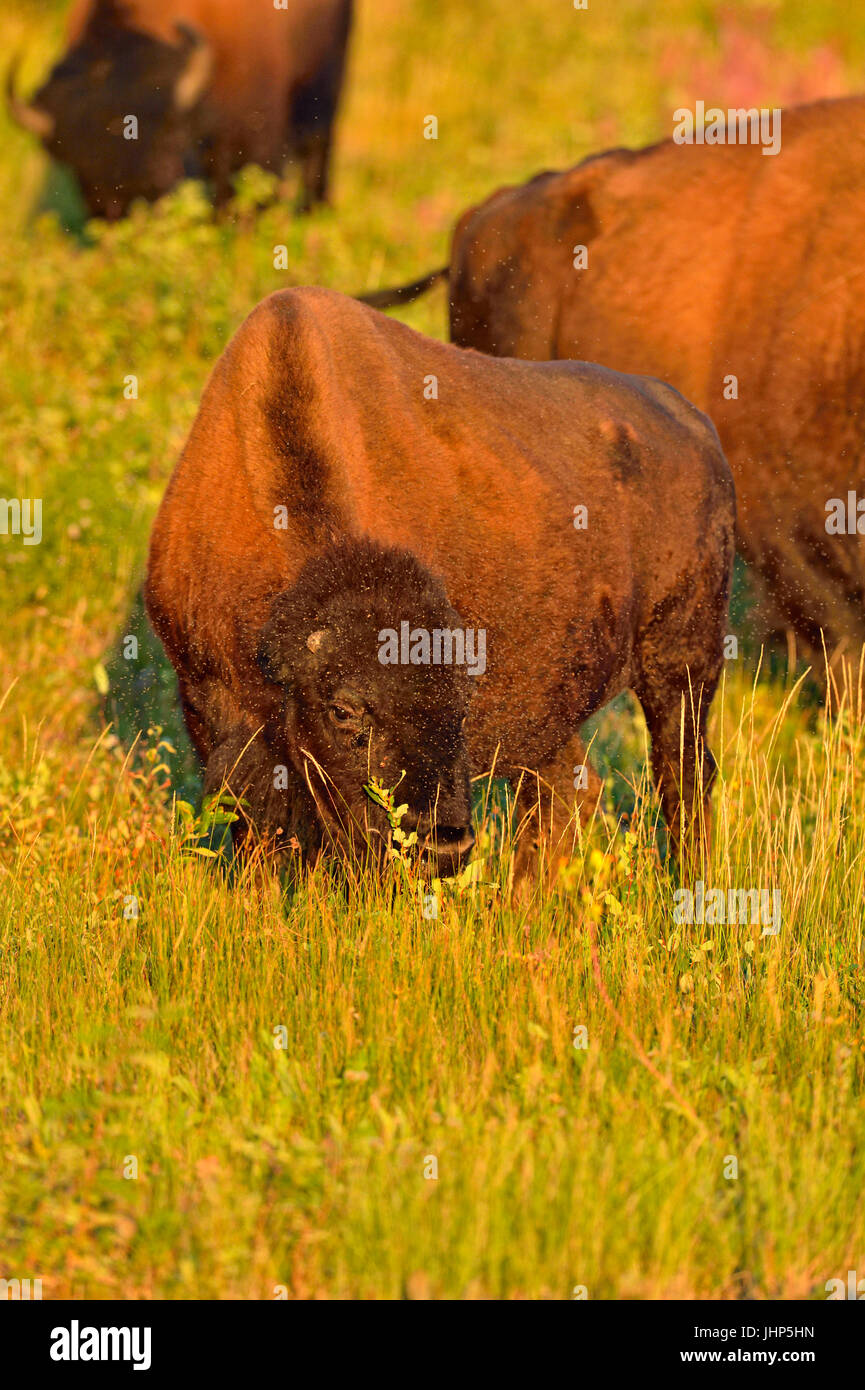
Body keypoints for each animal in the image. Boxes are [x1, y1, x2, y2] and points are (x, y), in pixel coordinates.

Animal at [145, 287, 734, 877]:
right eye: (343, 710)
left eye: (465, 698)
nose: (444, 846)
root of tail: (699, 430)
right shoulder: (209, 701)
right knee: (564, 793)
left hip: (681, 663)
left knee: (681, 777)